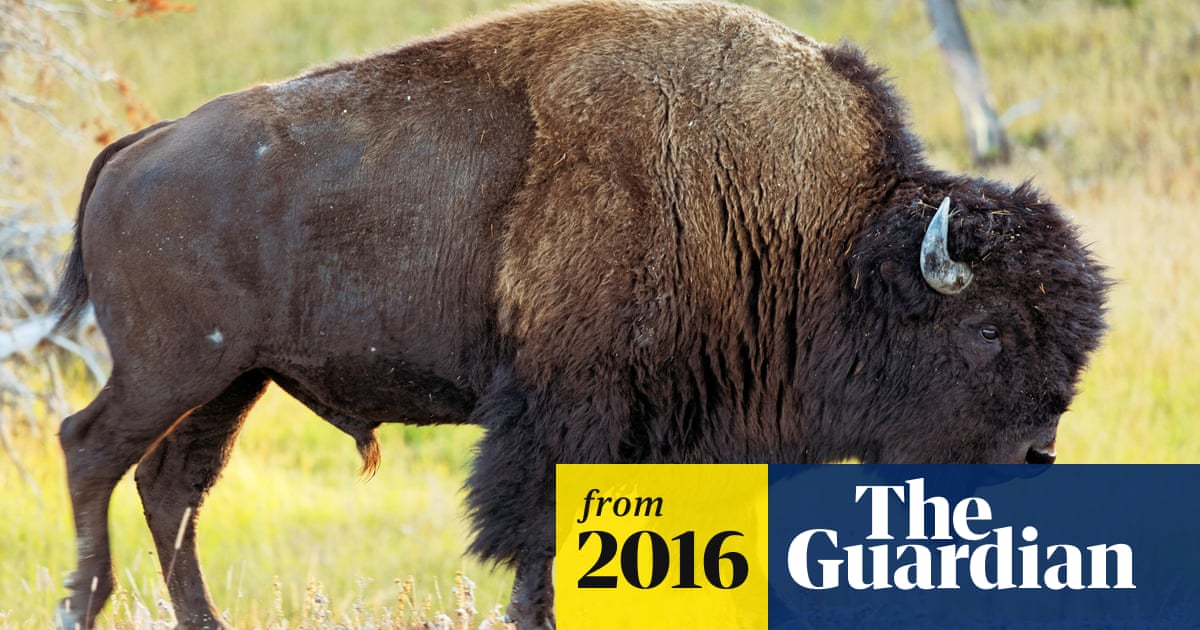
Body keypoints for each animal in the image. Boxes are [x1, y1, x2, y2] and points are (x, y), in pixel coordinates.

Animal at [52, 1, 1108, 628]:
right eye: (985, 329)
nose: (1038, 455)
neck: (818, 230)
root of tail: (139, 144)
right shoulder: (564, 414)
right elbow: (539, 541)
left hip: (234, 381)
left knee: (172, 489)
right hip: (173, 368)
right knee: (91, 449)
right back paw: (82, 602)